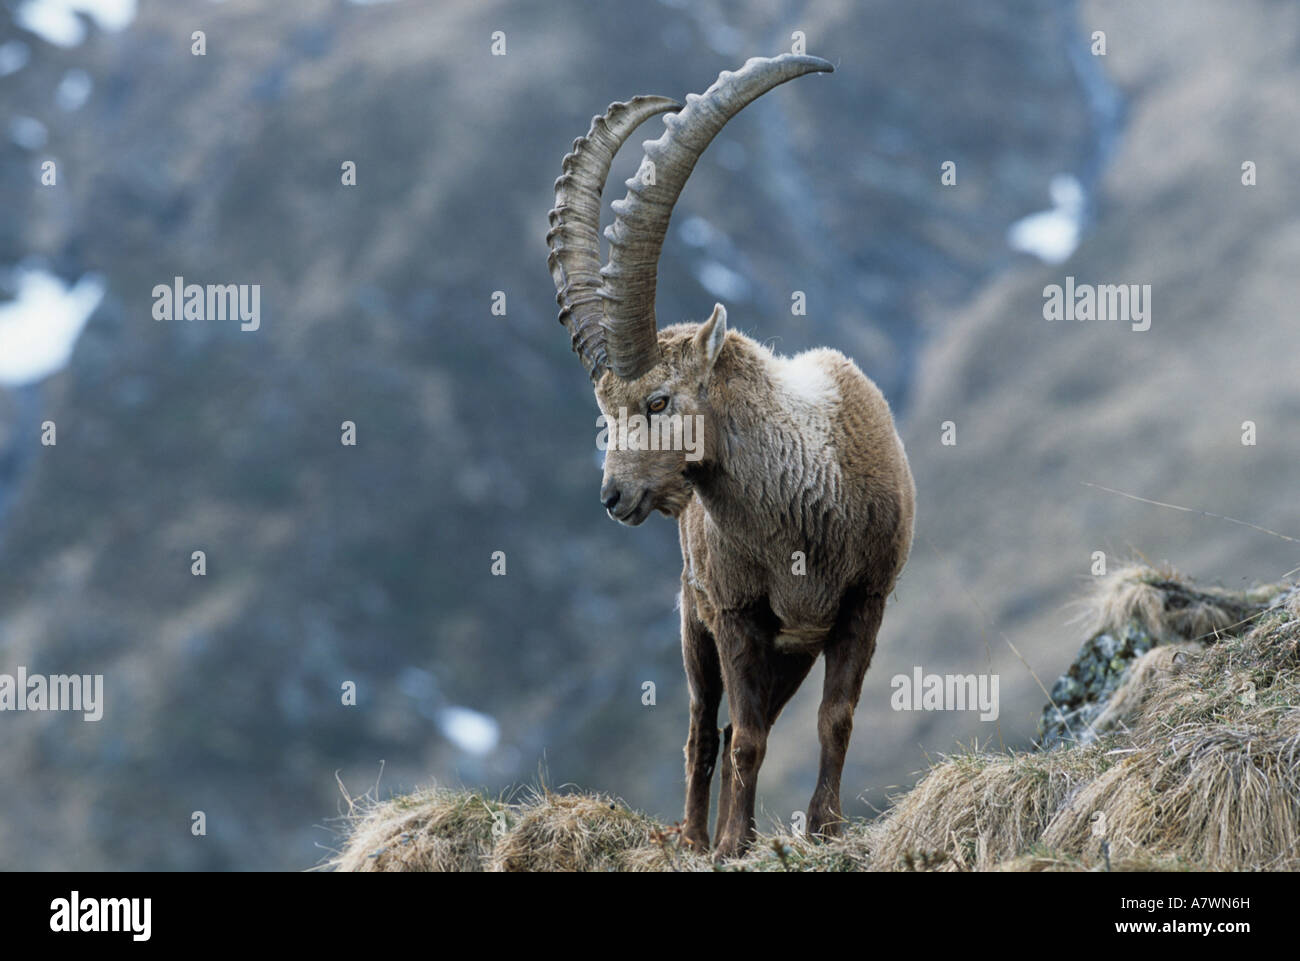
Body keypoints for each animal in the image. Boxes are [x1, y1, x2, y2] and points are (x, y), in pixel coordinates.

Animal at [547, 54, 915, 858]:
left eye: (658, 401)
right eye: (604, 411)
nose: (613, 497)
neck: (805, 494)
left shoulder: (862, 604)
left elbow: (835, 720)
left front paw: (825, 828)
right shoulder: (738, 613)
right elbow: (743, 738)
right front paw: (731, 846)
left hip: (792, 652)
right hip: (696, 619)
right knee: (702, 729)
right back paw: (693, 835)